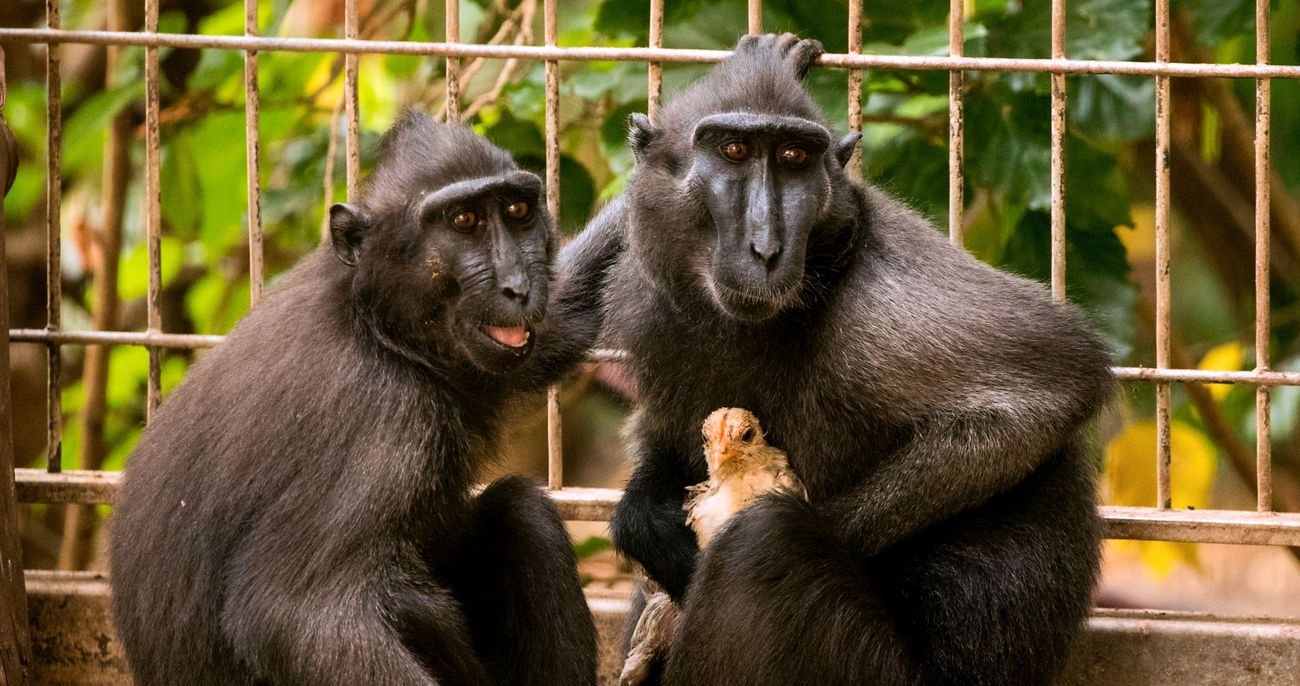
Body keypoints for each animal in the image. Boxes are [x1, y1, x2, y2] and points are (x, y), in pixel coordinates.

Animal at [108, 111, 617, 686]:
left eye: (517, 211)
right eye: (464, 221)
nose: (517, 286)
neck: (373, 323)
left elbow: (564, 315)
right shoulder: (382, 419)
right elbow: (297, 612)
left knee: (522, 517)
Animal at [587, 34, 1114, 685]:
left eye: (794, 158)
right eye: (733, 150)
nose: (765, 249)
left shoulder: (881, 301)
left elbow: (1057, 379)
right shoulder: (651, 307)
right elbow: (662, 438)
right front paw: (646, 519)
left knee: (767, 542)